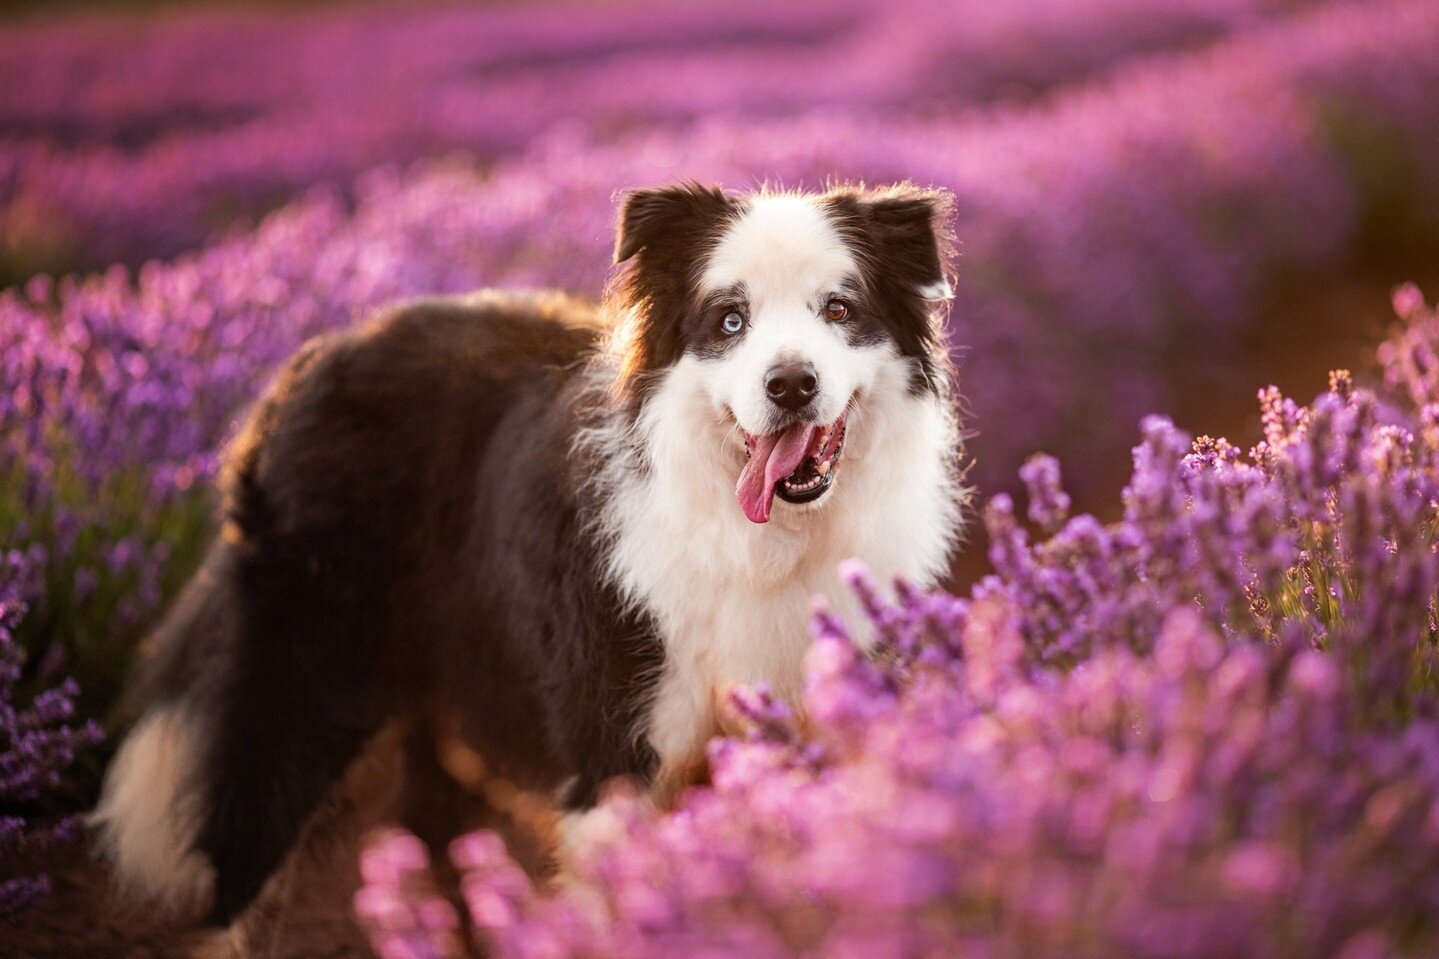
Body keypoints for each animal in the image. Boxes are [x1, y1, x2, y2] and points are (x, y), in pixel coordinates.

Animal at [89, 179, 967, 921]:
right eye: (729, 320)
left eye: (839, 309)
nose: (789, 384)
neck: (763, 539)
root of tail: (305, 364)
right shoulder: (612, 748)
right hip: (299, 672)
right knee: (238, 846)